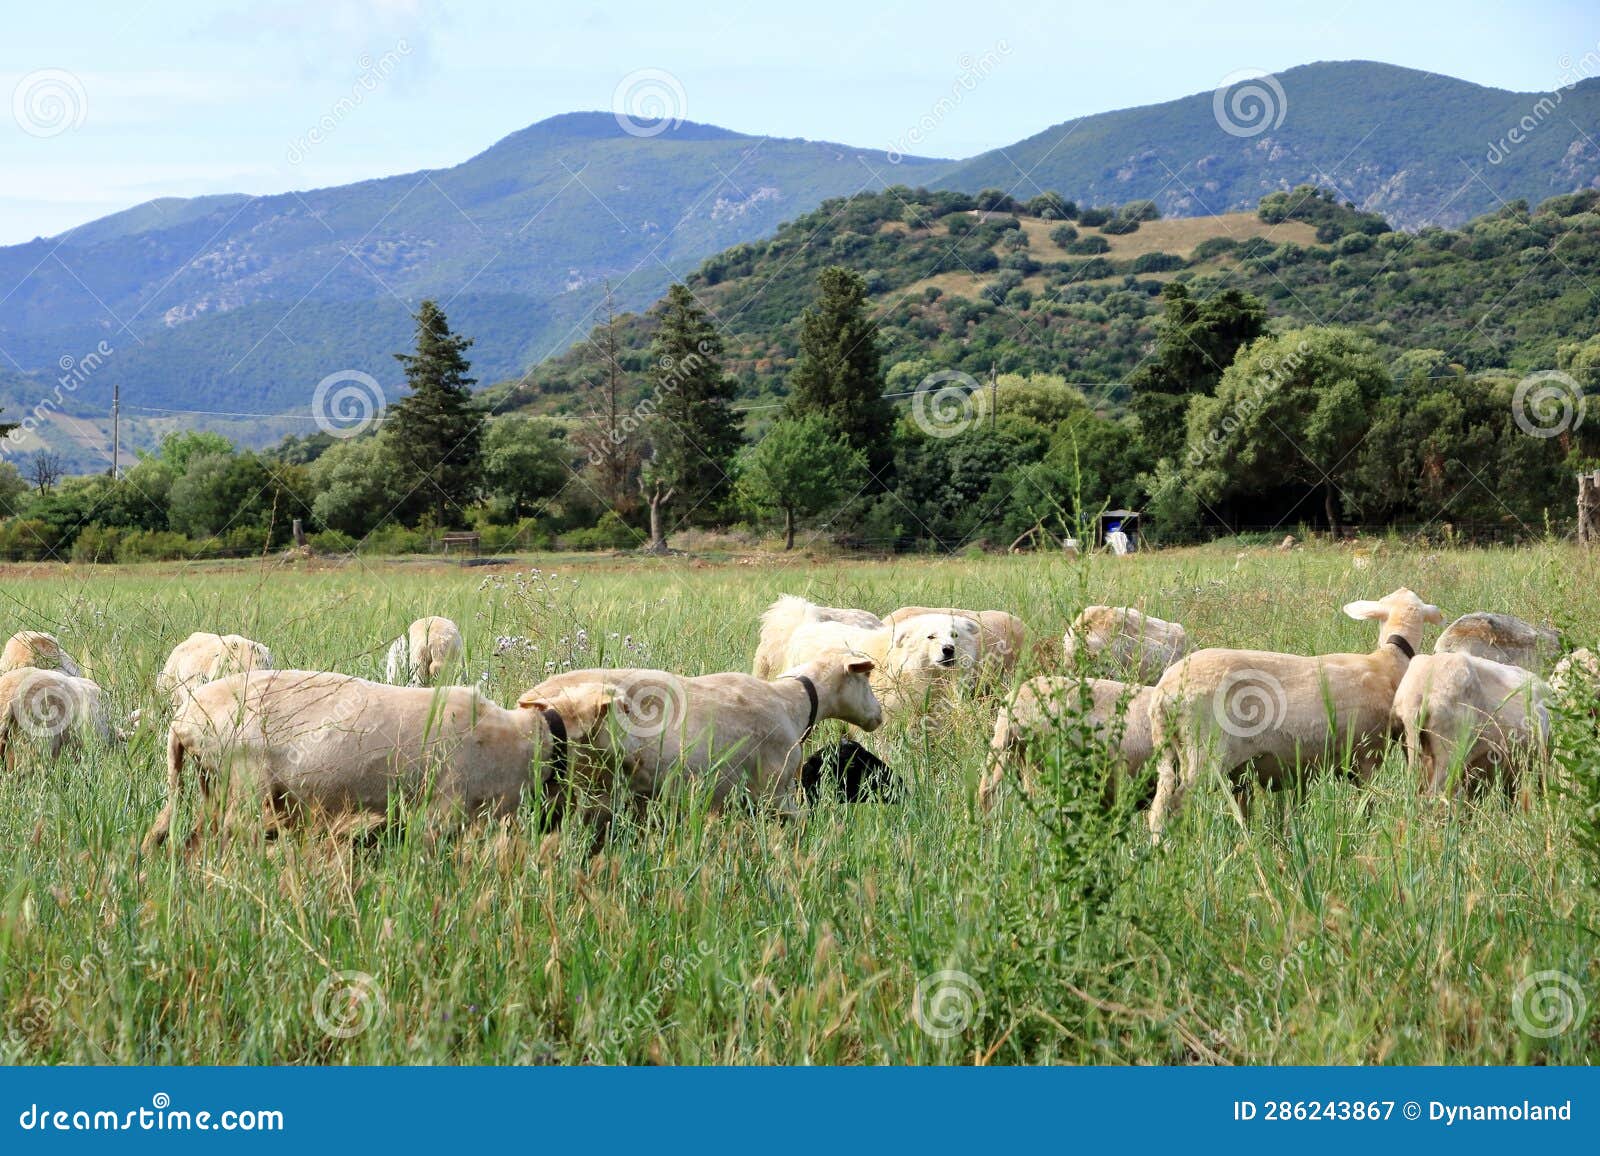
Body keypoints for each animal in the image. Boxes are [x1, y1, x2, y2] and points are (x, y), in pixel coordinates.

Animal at [1146, 587, 1443, 839]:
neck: (1386, 661)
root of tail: (1164, 693)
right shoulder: (1368, 754)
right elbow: (1368, 804)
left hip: (1170, 753)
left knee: (1159, 809)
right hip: (1204, 752)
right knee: (1179, 803)